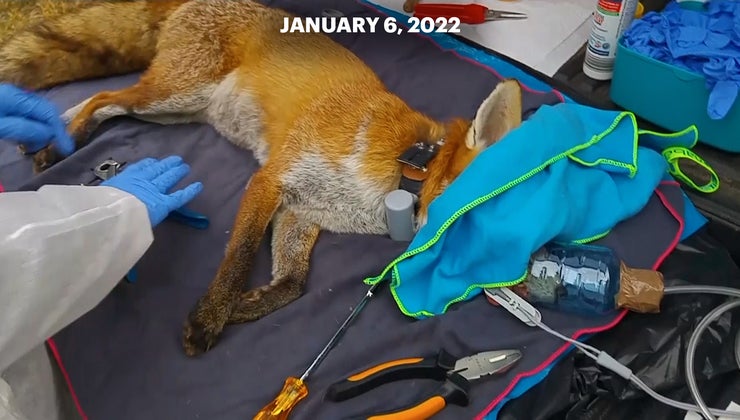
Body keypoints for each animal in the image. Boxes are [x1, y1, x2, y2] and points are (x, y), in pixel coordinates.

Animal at [0, 0, 524, 356]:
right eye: (478, 218)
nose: (501, 284)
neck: (405, 166)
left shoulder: (302, 210)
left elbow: (293, 283)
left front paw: (242, 307)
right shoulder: (272, 180)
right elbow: (239, 256)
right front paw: (210, 317)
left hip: (176, 111)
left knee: (109, 104)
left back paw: (53, 131)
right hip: (172, 94)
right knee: (103, 97)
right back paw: (58, 138)